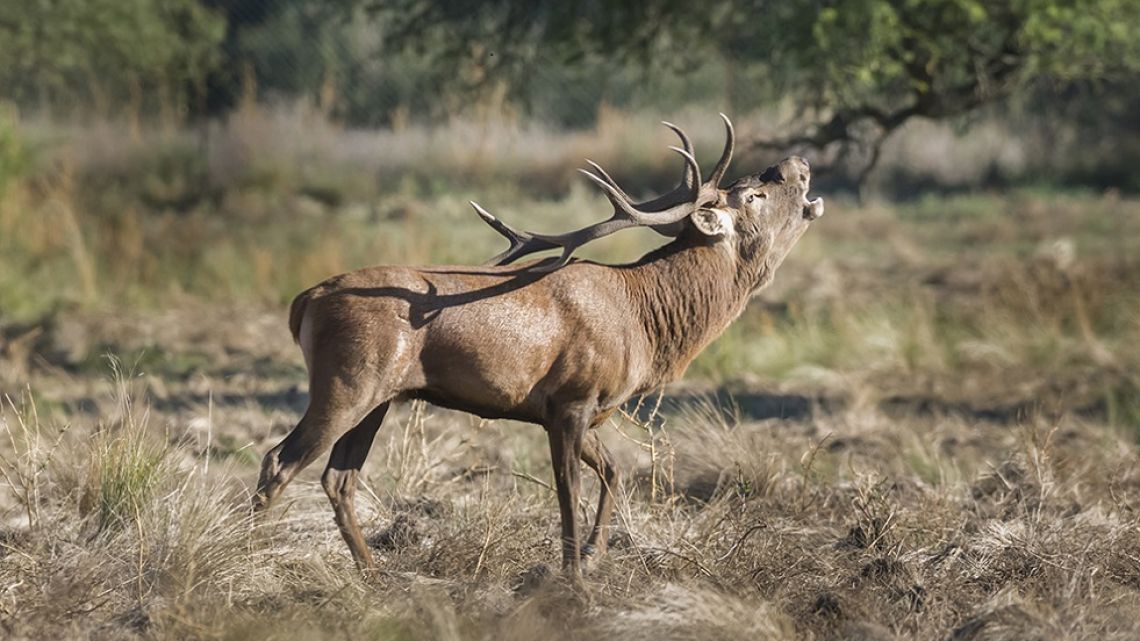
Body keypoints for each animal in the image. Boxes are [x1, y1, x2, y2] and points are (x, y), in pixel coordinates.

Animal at [253, 114, 824, 576]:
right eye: (752, 195)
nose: (797, 162)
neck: (645, 322)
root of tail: (303, 301)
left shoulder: (582, 410)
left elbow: (614, 471)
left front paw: (593, 555)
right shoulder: (570, 398)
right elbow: (568, 493)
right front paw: (573, 578)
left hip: (379, 395)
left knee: (338, 478)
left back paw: (372, 573)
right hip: (346, 380)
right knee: (279, 460)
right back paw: (253, 557)